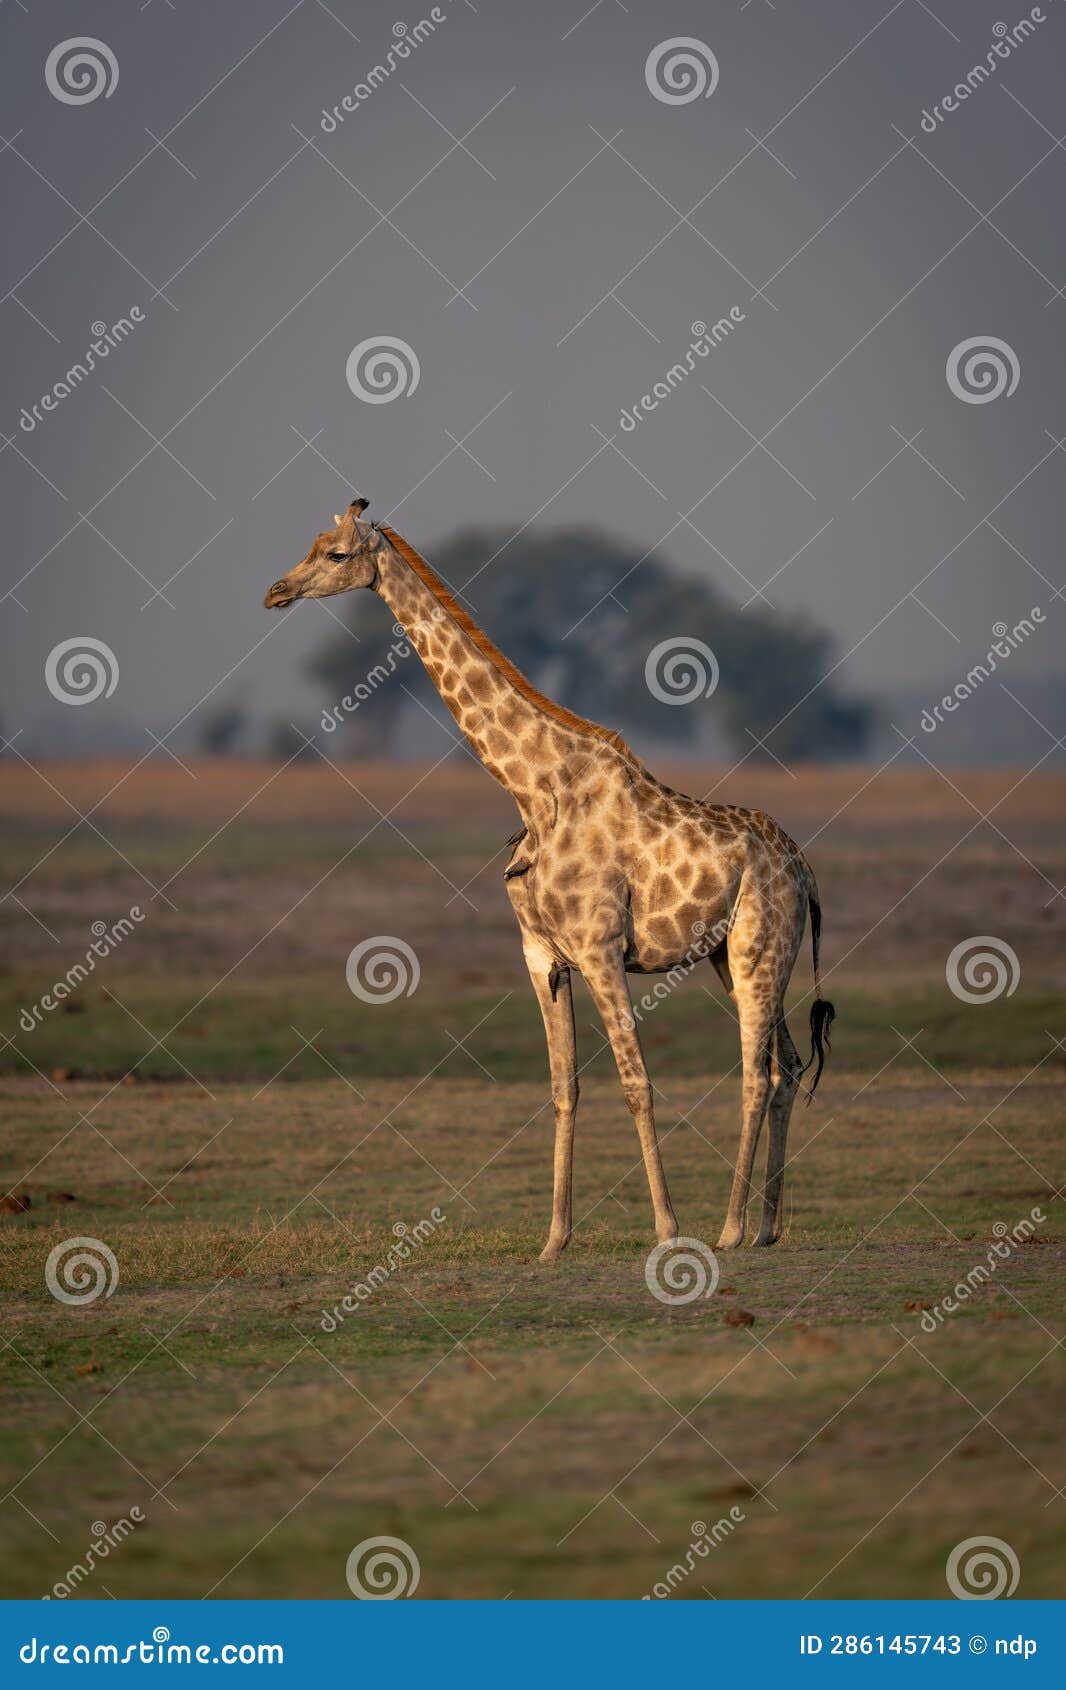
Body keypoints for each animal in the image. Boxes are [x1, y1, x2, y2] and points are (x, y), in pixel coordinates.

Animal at [264, 500, 835, 1259]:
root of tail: (804, 869)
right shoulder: (542, 956)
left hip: (757, 950)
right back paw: (768, 1226)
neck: (533, 789)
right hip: (733, 954)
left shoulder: (600, 950)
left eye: (333, 554)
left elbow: (636, 1082)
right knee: (789, 1066)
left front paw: (665, 1230)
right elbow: (566, 1088)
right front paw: (555, 1239)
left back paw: (730, 1227)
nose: (276, 592)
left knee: (757, 1073)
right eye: (311, 544)